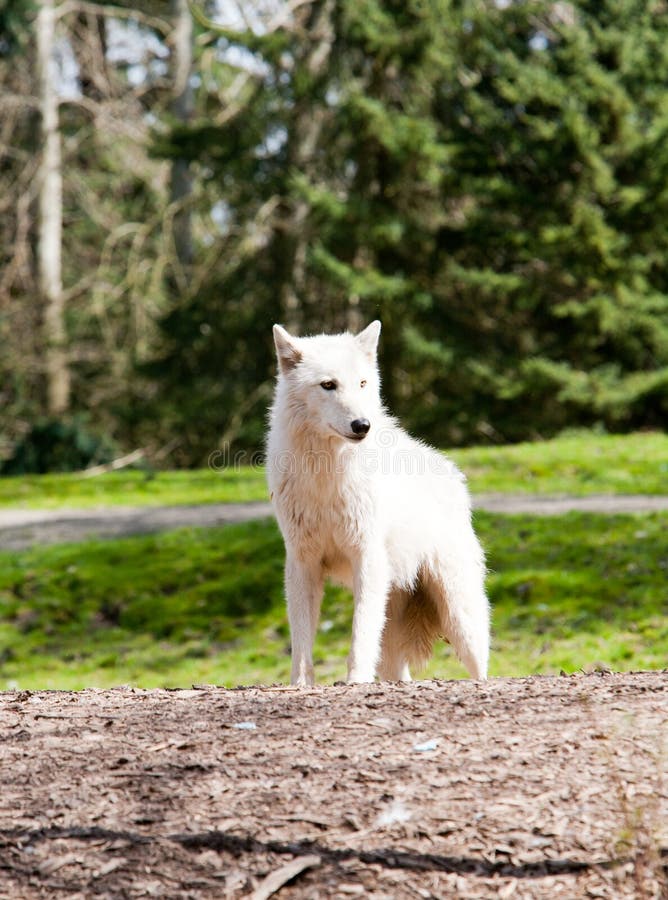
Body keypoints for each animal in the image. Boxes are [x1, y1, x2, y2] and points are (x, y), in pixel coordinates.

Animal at [266, 320, 490, 685]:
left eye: (362, 383)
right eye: (328, 385)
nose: (363, 426)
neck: (327, 475)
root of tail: (453, 475)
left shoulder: (366, 557)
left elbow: (359, 633)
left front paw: (356, 680)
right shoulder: (301, 561)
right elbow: (301, 639)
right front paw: (300, 684)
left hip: (460, 617)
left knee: (481, 667)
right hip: (395, 623)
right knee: (397, 670)